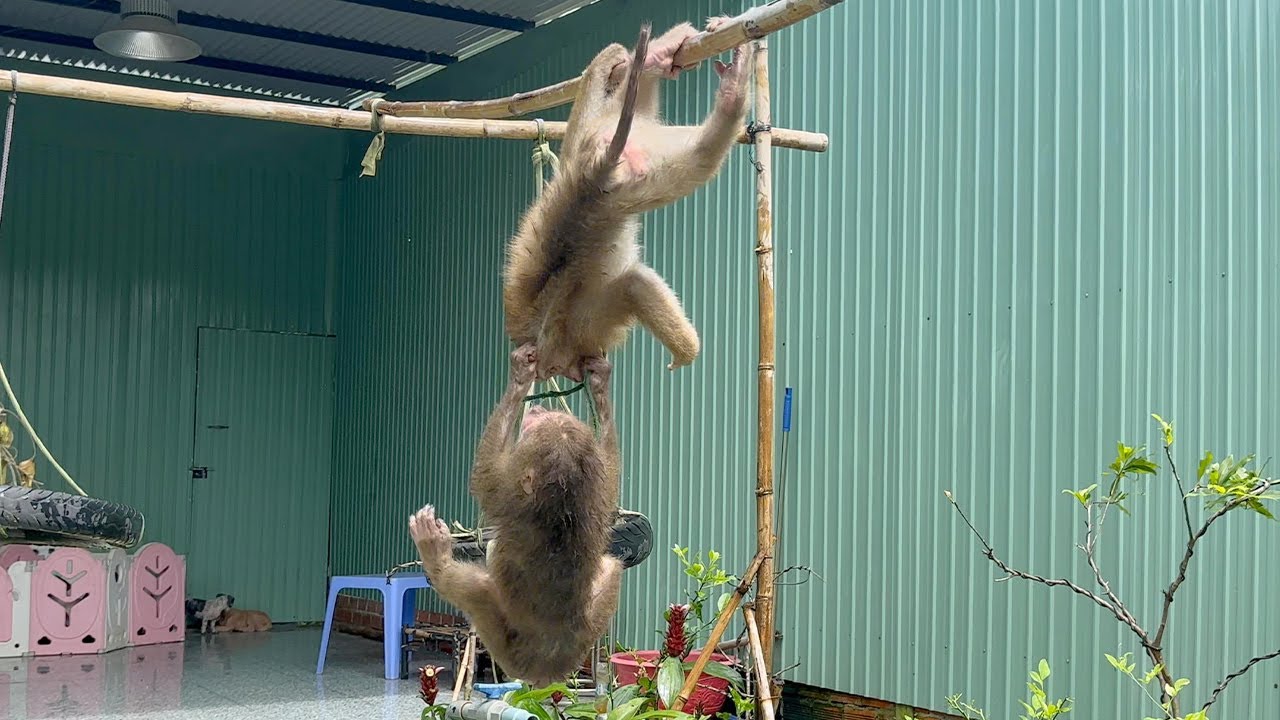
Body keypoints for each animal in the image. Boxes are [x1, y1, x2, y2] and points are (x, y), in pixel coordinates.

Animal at [409, 344, 622, 687]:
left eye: (538, 425)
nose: (537, 411)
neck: (561, 501)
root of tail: (545, 669)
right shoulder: (595, 495)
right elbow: (611, 476)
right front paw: (599, 383)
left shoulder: (508, 497)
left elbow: (483, 476)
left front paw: (520, 378)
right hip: (582, 636)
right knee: (613, 567)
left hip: (509, 648)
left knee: (475, 589)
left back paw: (435, 555)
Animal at [502, 19, 756, 382]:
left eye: (554, 369)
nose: (571, 374)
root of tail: (592, 176)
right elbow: (635, 285)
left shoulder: (577, 326)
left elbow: (629, 288)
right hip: (610, 163)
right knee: (699, 158)